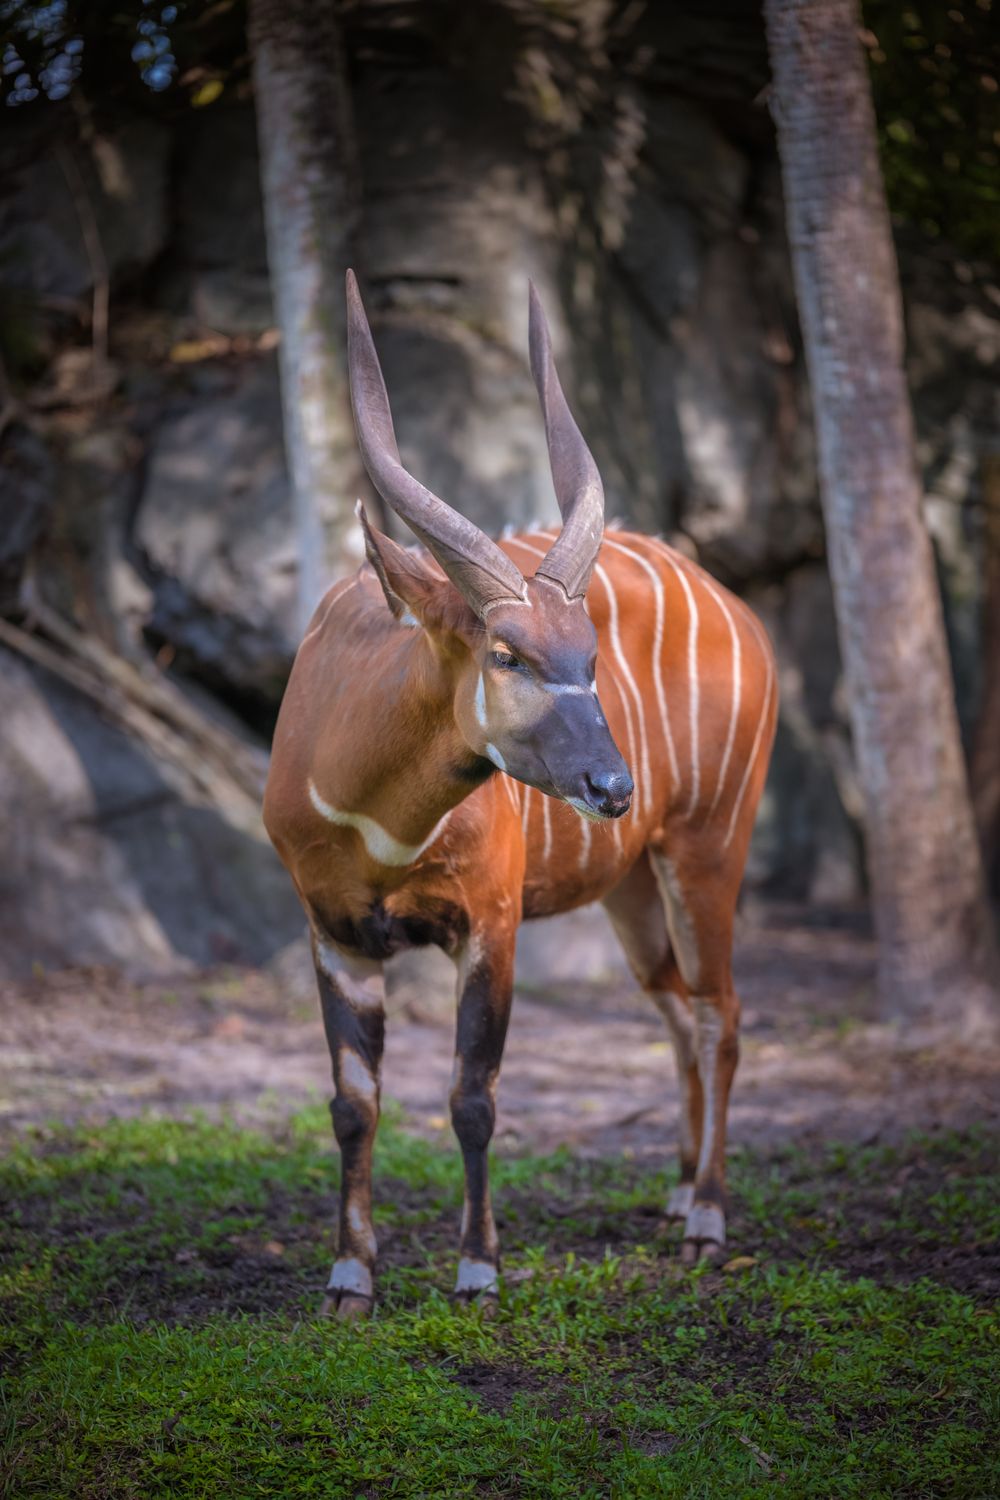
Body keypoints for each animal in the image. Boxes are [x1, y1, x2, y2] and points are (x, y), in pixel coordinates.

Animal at [263, 270, 777, 1317]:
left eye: (590, 655)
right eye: (507, 652)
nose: (613, 784)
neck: (375, 815)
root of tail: (740, 611)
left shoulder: (488, 923)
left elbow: (473, 1097)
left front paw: (477, 1272)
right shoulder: (334, 930)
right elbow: (351, 1102)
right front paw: (348, 1281)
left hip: (707, 847)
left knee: (721, 1010)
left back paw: (707, 1220)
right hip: (631, 888)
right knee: (674, 1007)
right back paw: (675, 1193)